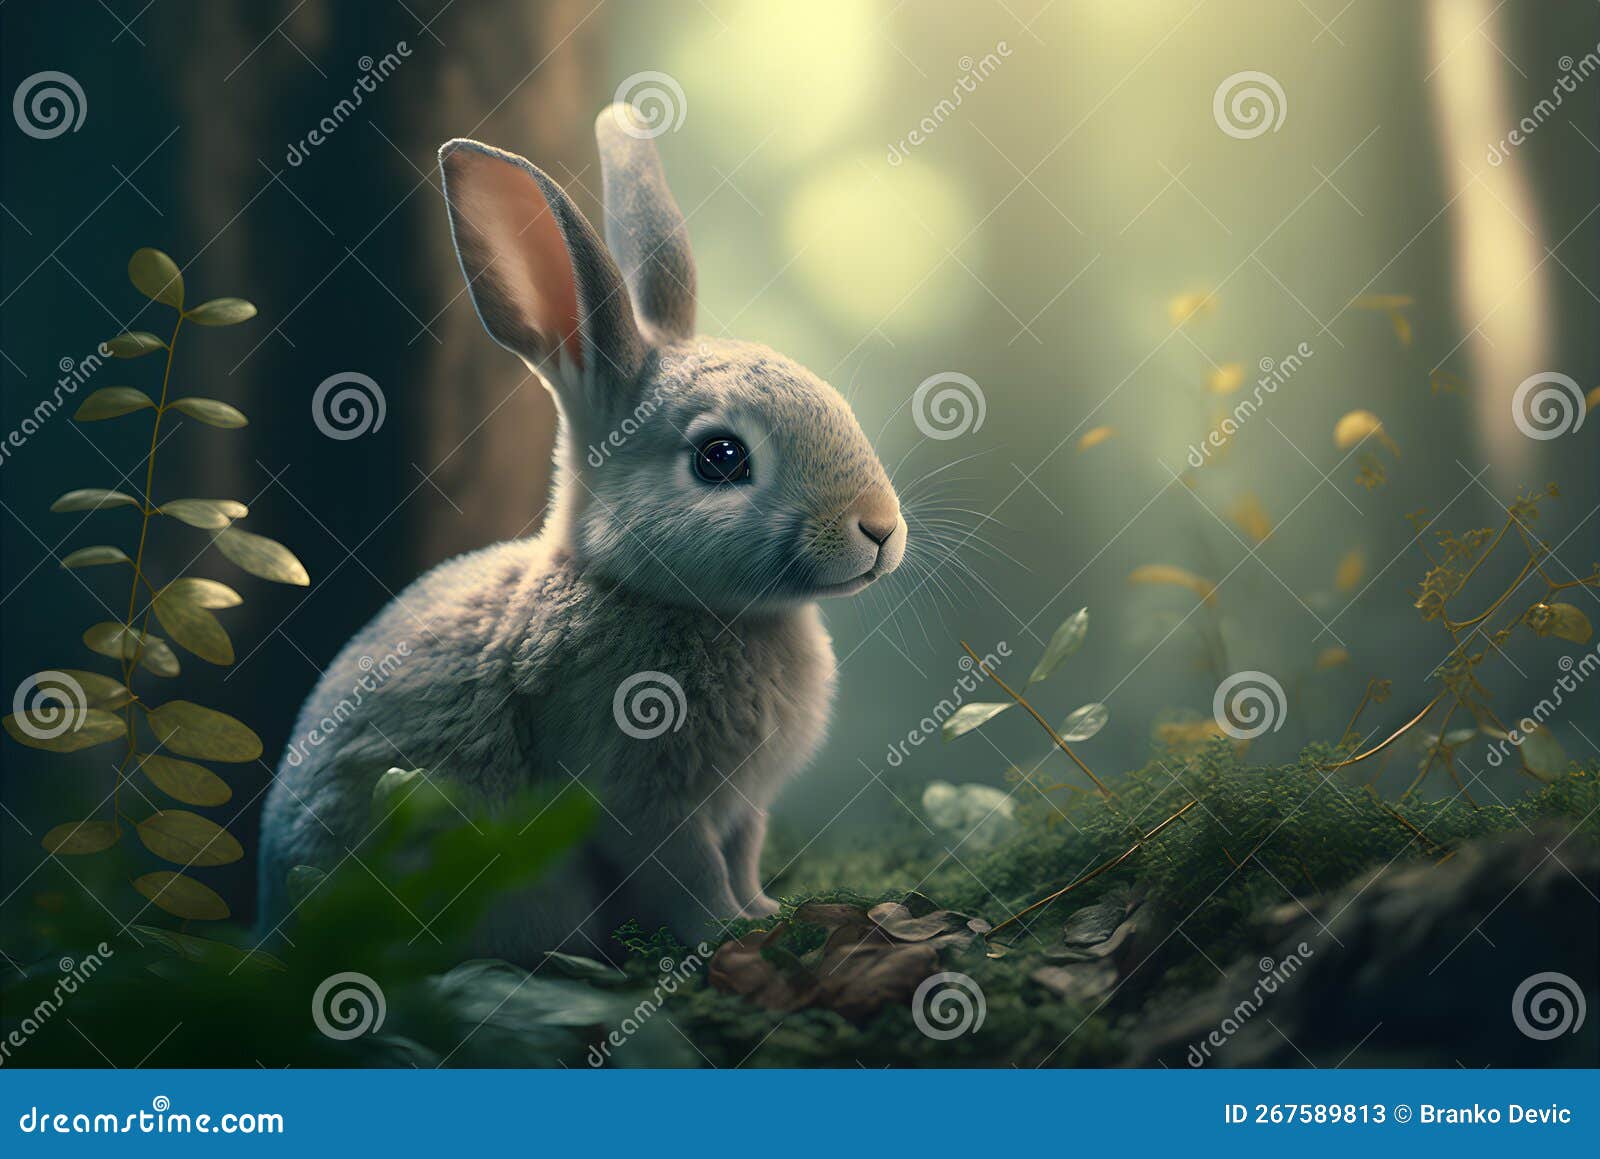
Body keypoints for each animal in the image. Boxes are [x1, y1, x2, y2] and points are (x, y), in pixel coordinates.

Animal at [257, 104, 907, 963]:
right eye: (721, 457)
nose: (879, 527)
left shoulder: (742, 808)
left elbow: (741, 857)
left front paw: (767, 911)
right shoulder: (643, 800)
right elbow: (690, 876)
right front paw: (729, 933)